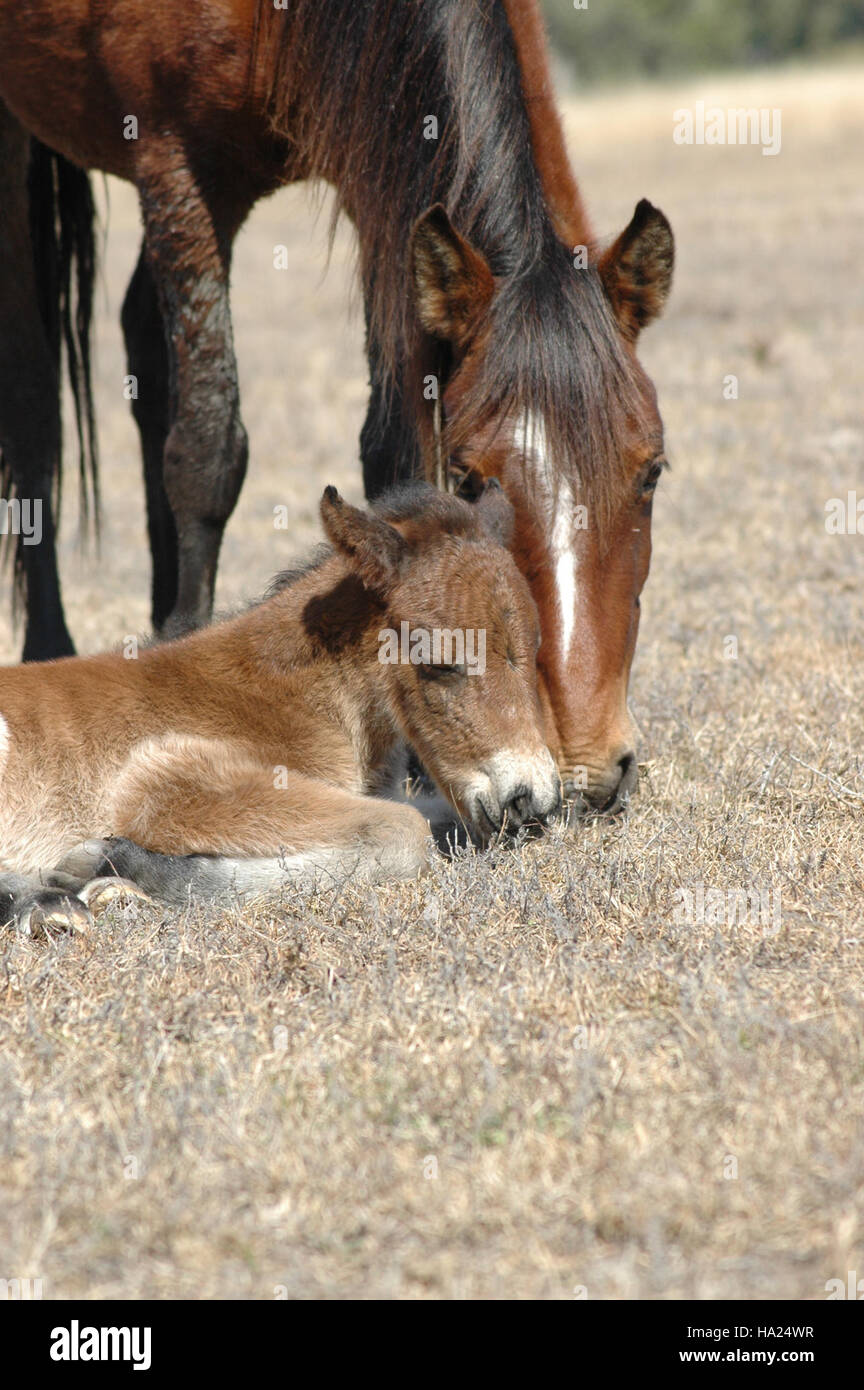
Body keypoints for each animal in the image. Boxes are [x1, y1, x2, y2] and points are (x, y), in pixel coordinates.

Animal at [0, 0, 674, 814]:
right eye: (470, 477)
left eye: (652, 472)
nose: (586, 770)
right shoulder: (178, 164)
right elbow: (207, 451)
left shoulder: (377, 173)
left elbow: (388, 448)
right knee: (34, 390)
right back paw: (56, 647)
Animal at [0, 480, 561, 933]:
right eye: (441, 662)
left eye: (534, 649)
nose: (531, 802)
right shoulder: (165, 782)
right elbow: (402, 832)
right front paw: (113, 866)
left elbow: (435, 819)